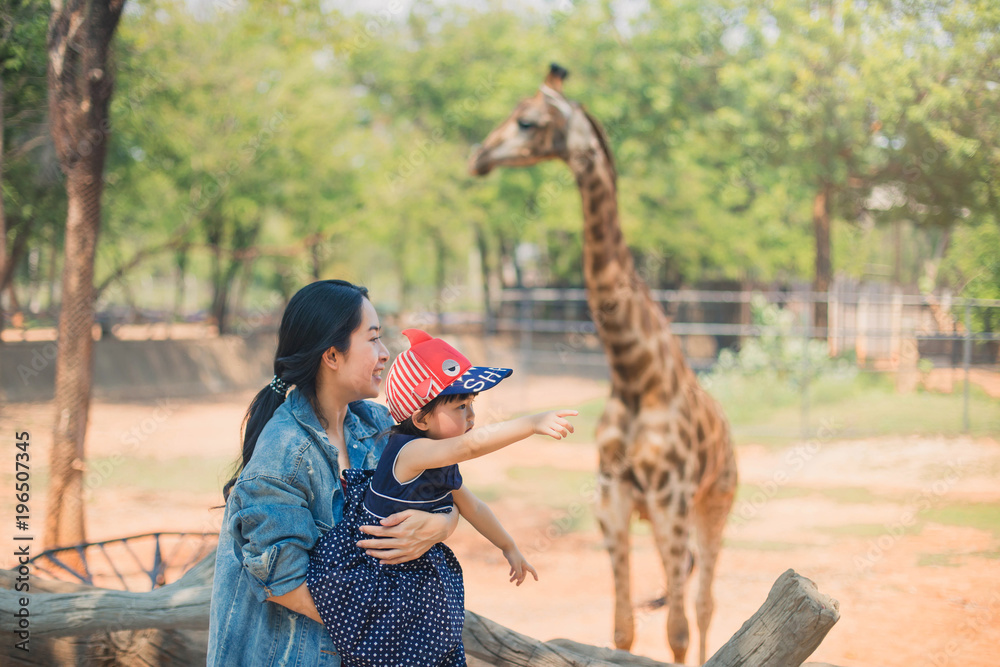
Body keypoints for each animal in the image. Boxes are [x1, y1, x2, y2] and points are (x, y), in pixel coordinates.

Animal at [469, 64, 738, 665]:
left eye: (528, 121)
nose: (479, 156)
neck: (634, 372)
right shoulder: (613, 501)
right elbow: (622, 631)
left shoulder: (670, 500)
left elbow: (677, 633)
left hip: (714, 504)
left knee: (703, 605)